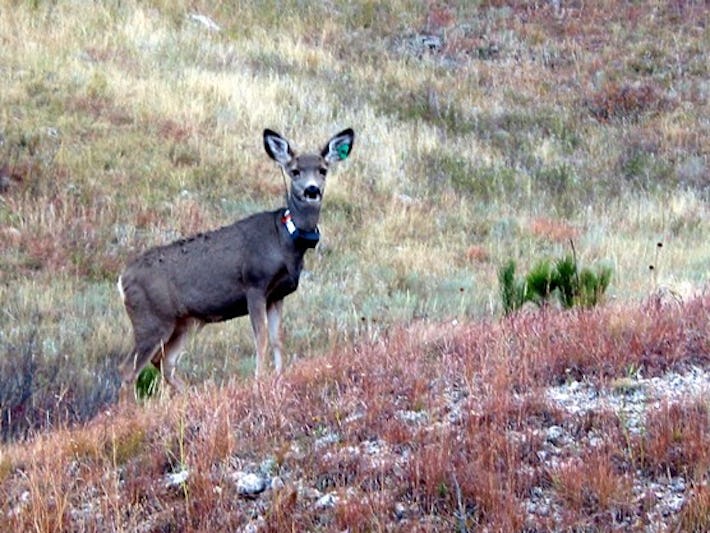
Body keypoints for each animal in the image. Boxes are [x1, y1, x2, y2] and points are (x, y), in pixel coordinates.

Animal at [117, 128, 355, 395]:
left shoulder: (277, 295)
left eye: (323, 169)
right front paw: (259, 380)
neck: (285, 239)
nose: (312, 190)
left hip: (184, 321)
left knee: (164, 361)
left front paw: (279, 378)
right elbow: (261, 337)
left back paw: (192, 394)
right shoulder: (255, 284)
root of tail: (122, 279)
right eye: (294, 171)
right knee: (129, 369)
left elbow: (277, 339)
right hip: (151, 318)